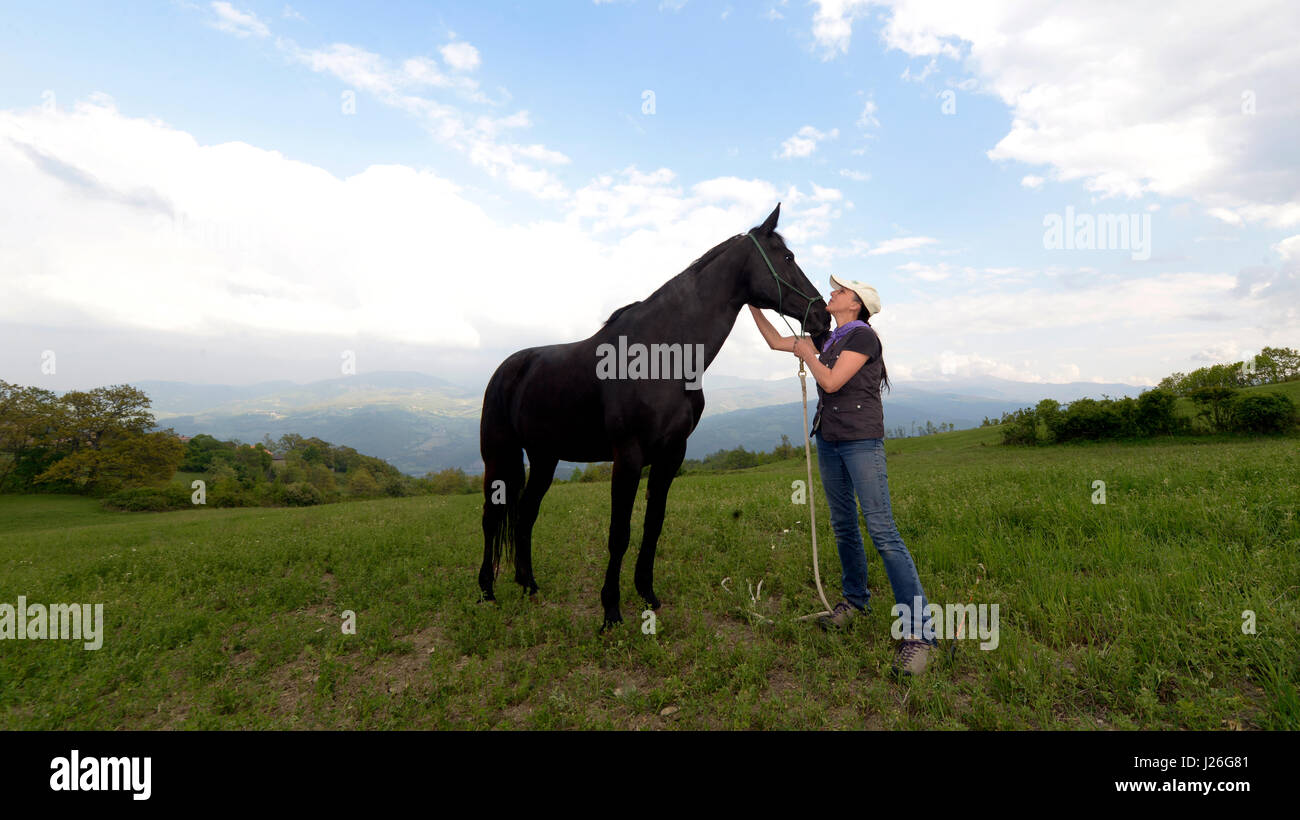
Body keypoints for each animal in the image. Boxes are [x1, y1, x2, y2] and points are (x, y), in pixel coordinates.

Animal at [478, 204, 832, 628]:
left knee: (526, 514)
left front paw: (646, 593)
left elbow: (653, 524)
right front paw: (611, 610)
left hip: (545, 458)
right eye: (788, 257)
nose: (823, 317)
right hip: (498, 456)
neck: (661, 355)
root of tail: (508, 368)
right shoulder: (628, 457)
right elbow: (619, 532)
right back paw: (486, 591)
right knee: (491, 517)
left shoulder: (671, 455)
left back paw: (528, 584)